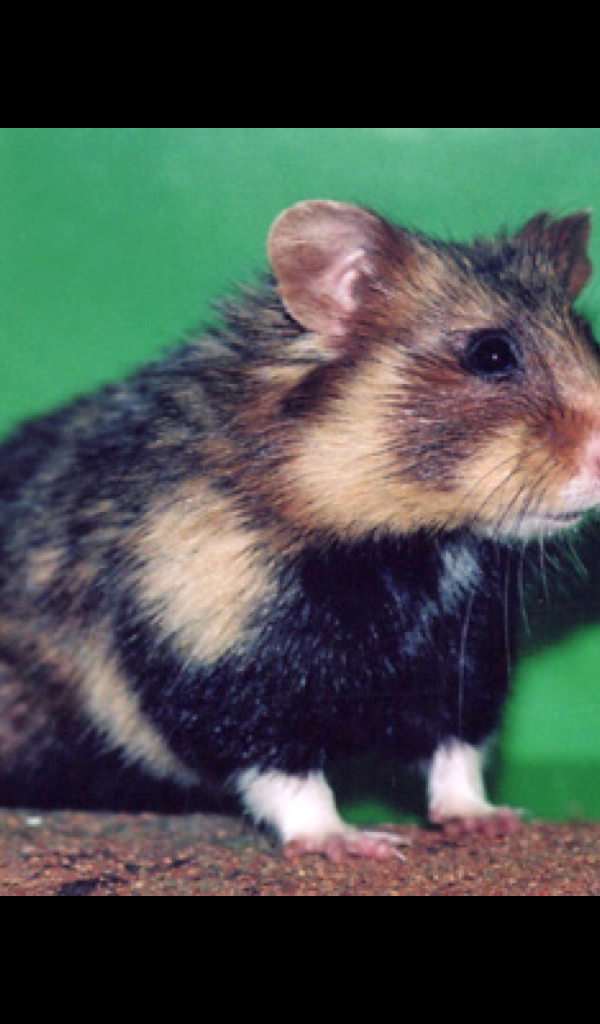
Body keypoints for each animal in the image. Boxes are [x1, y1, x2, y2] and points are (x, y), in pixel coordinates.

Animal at [0, 198, 599, 862]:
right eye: (491, 354)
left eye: (588, 336)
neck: (412, 545)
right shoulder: (209, 650)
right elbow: (282, 769)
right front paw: (356, 843)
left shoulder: (468, 652)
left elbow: (456, 749)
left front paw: (489, 820)